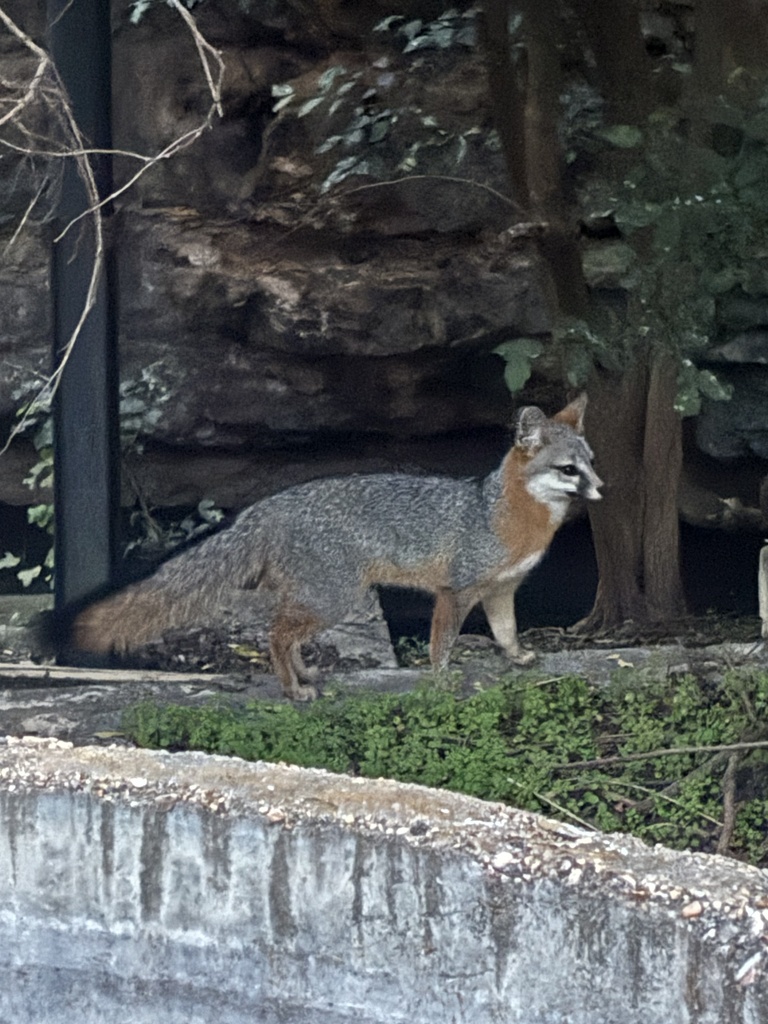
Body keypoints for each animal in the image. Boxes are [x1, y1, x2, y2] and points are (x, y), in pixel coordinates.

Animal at [72, 394, 602, 700]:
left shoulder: (500, 591)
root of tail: (268, 505)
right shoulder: (456, 591)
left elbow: (507, 632)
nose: (602, 488)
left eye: (591, 462)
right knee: (275, 634)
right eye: (568, 470)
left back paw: (304, 676)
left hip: (318, 598)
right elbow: (442, 645)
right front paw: (441, 680)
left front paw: (518, 658)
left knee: (284, 633)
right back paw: (292, 690)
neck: (506, 514)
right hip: (334, 598)